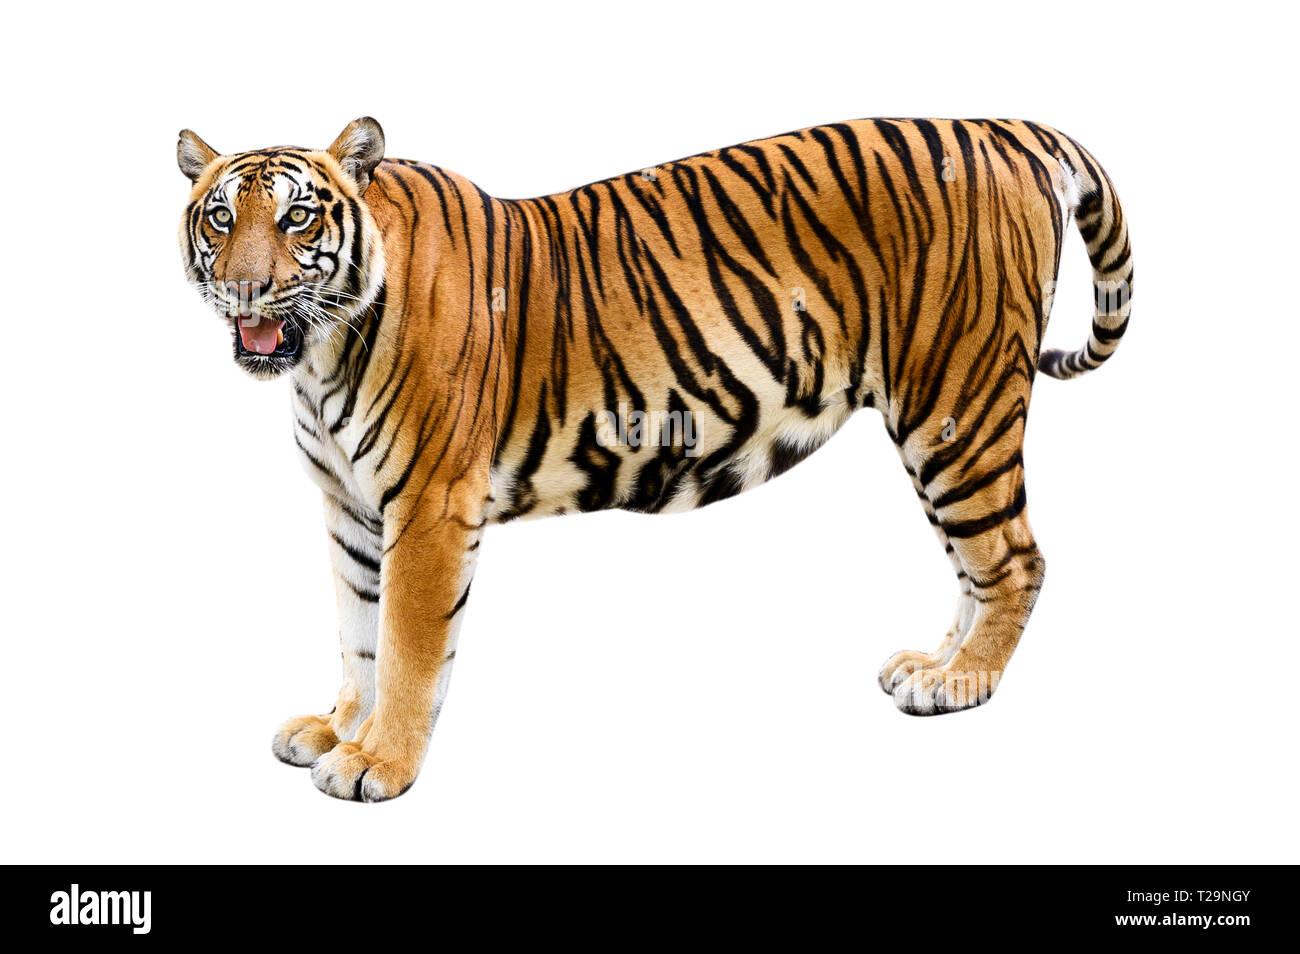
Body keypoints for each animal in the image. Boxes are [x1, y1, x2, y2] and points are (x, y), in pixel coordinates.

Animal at [177, 116, 1131, 801]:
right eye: (222, 218)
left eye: (298, 216)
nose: (247, 286)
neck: (318, 358)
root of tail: (1008, 127)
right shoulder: (350, 508)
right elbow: (358, 635)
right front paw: (341, 730)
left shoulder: (430, 506)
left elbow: (407, 644)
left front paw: (379, 764)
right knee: (973, 564)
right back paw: (931, 668)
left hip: (956, 405)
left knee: (1013, 559)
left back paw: (962, 682)